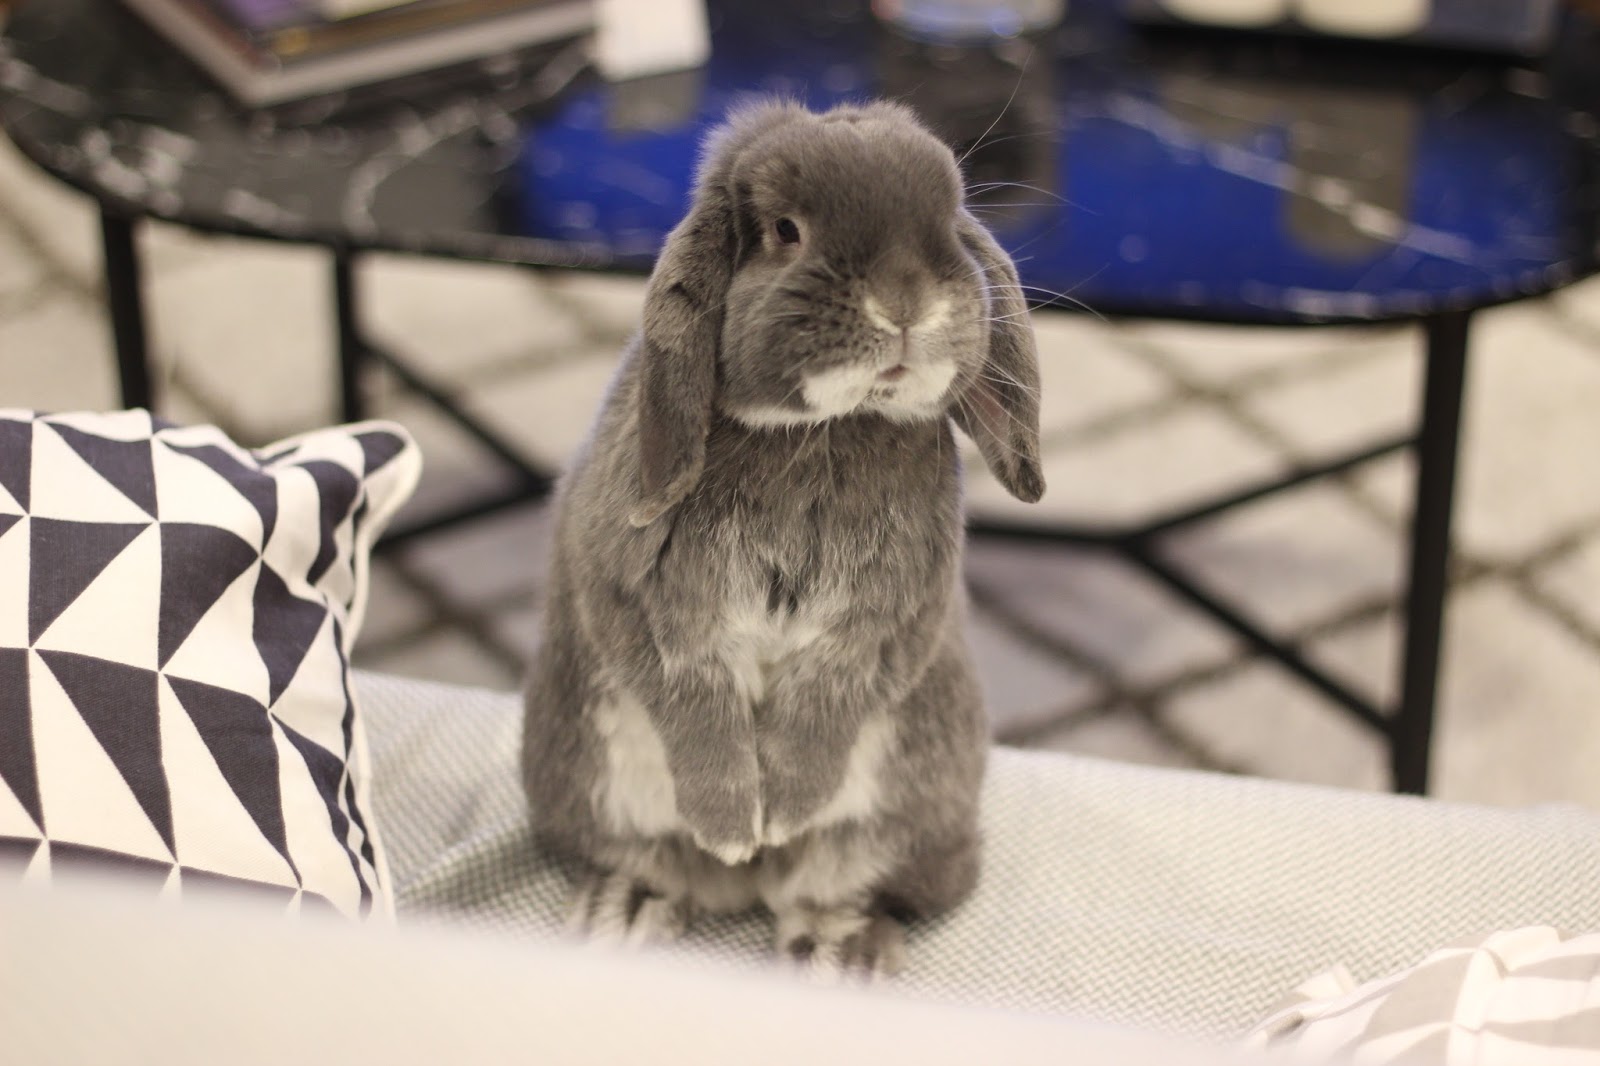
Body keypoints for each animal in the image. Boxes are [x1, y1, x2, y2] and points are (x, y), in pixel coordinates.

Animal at [521, 97, 1043, 977]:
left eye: (949, 218)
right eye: (784, 230)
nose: (905, 301)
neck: (822, 430)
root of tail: (746, 893)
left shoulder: (884, 628)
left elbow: (824, 713)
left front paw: (788, 811)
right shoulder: (643, 612)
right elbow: (697, 712)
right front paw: (736, 826)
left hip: (908, 825)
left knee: (833, 889)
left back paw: (838, 956)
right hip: (588, 794)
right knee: (655, 863)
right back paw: (629, 914)